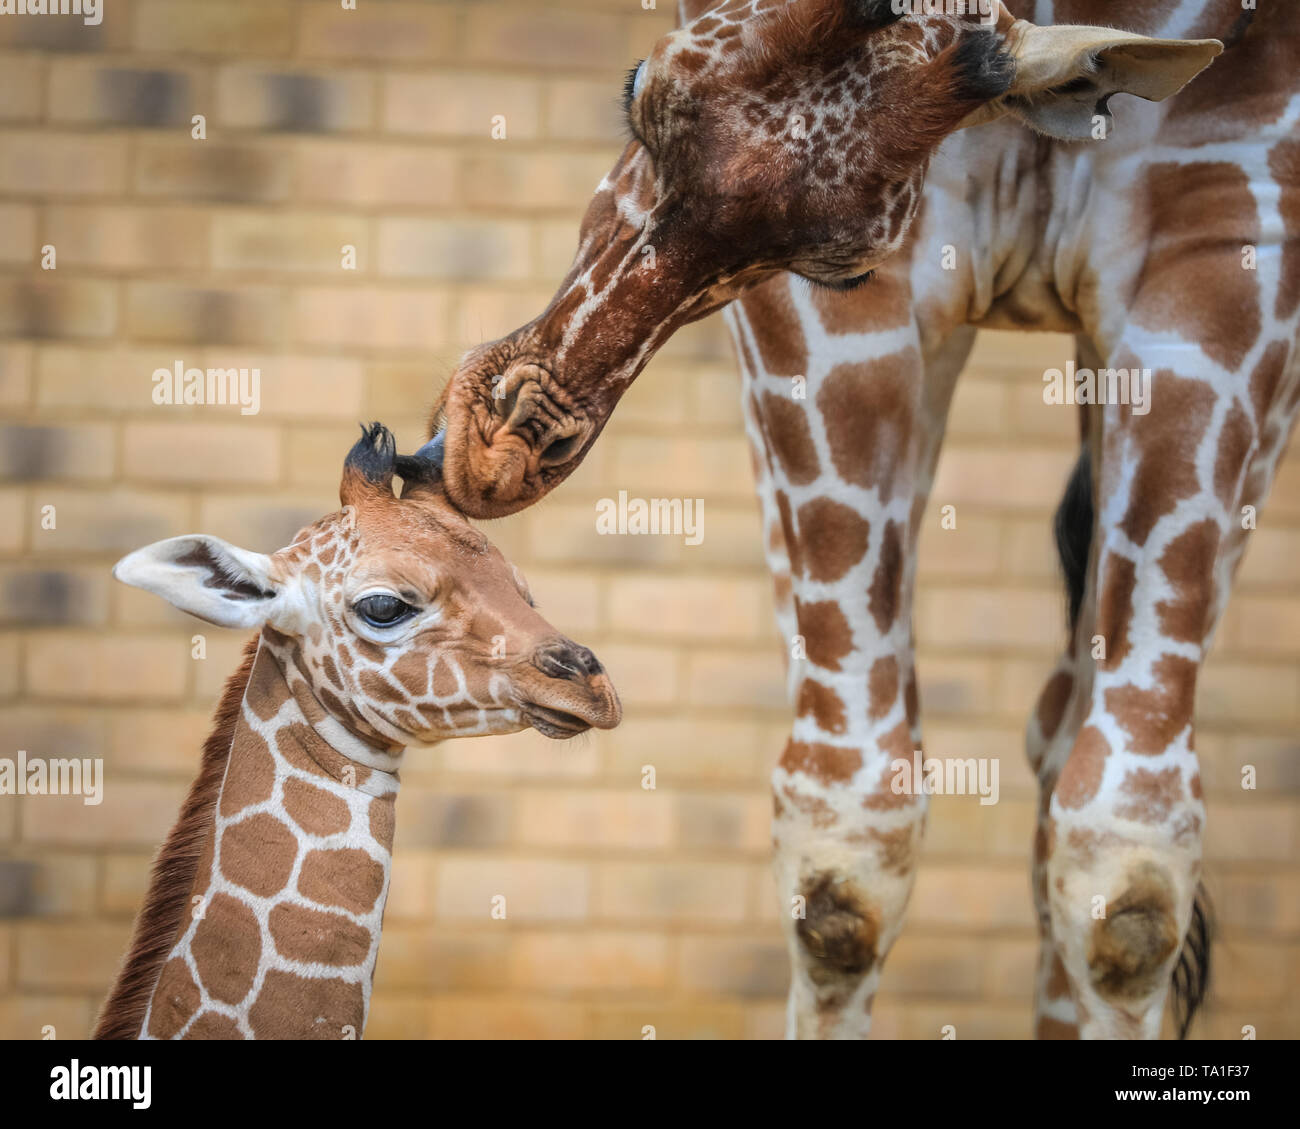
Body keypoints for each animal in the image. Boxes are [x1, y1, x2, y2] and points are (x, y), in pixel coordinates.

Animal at [431, 0, 1300, 1039]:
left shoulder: (1232, 228)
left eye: (843, 259)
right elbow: (846, 852)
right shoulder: (841, 306)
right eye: (637, 91)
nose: (495, 456)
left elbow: (1129, 876)